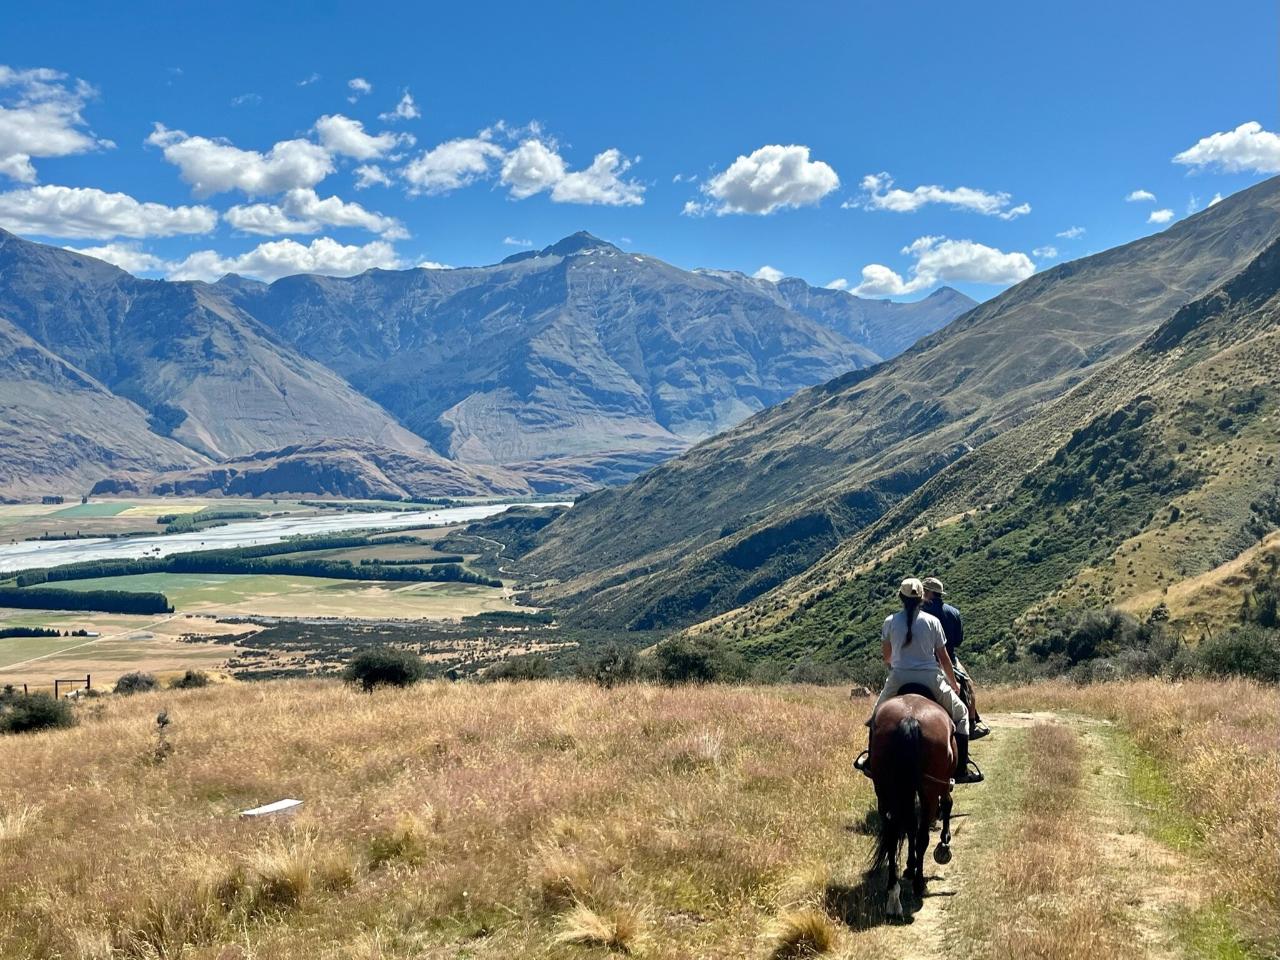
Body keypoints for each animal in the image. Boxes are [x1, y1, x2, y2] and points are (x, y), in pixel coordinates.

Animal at [867, 689, 956, 919]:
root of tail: (910, 718)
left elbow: (909, 828)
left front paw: (908, 866)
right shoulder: (943, 784)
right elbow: (946, 805)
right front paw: (944, 842)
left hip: (885, 790)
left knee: (892, 835)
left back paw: (893, 895)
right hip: (930, 789)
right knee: (923, 835)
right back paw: (918, 884)